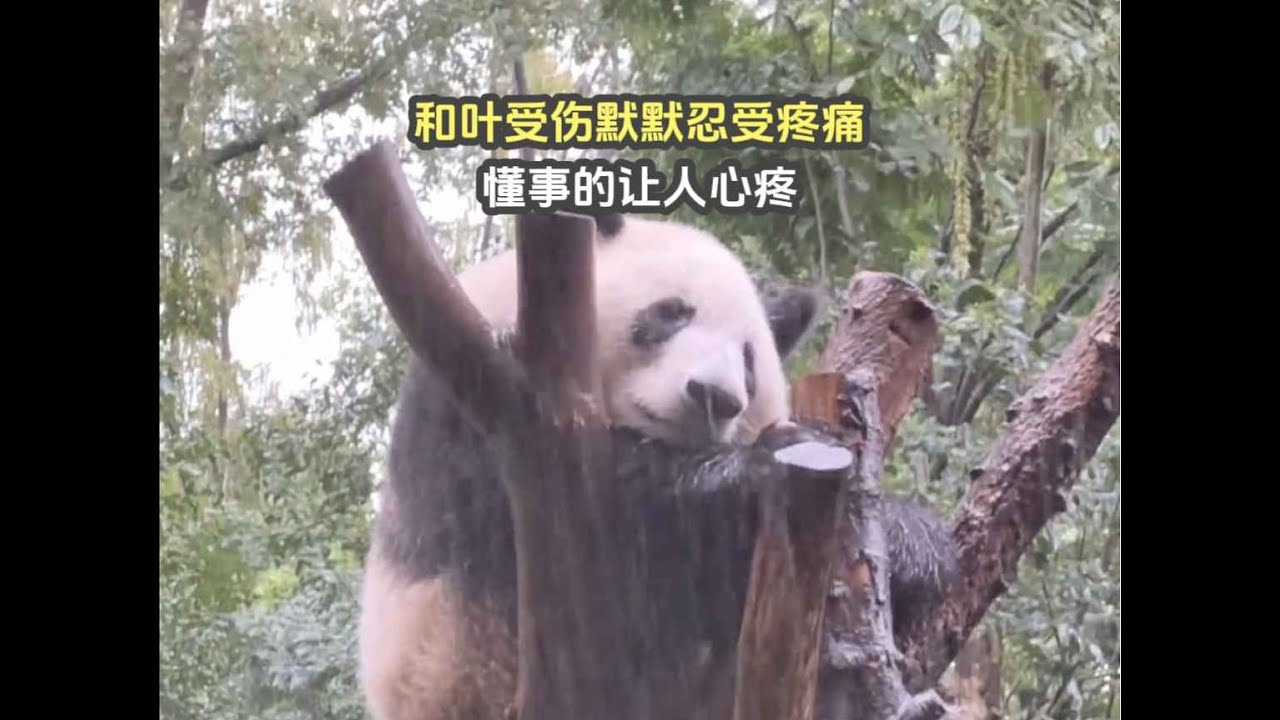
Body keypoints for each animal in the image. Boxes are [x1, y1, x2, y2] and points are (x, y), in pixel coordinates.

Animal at [355, 213, 956, 720]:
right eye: (670, 314)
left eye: (748, 361)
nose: (715, 397)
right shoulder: (482, 407)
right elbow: (624, 523)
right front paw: (760, 467)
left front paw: (913, 543)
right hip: (463, 659)